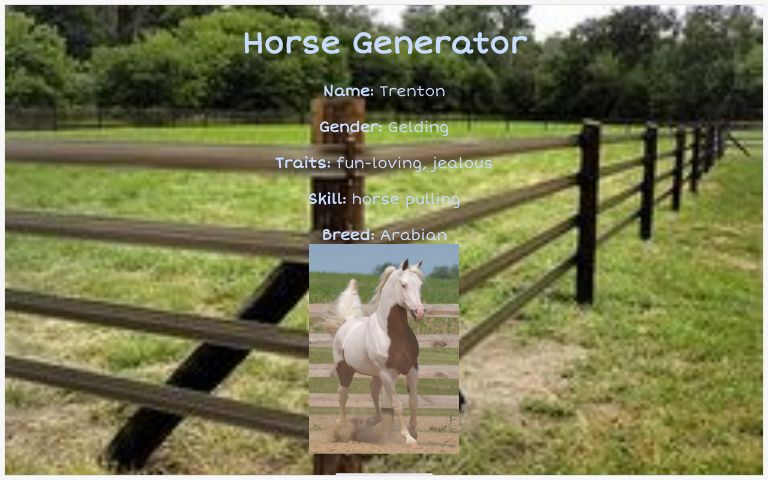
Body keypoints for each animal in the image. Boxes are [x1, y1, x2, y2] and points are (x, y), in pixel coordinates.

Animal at [329, 259, 425, 445]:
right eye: (404, 285)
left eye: (420, 285)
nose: (419, 312)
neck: (393, 333)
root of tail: (348, 322)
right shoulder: (388, 374)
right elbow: (397, 404)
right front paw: (408, 438)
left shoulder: (412, 369)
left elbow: (413, 401)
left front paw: (415, 432)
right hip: (345, 371)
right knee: (342, 395)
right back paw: (341, 428)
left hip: (375, 375)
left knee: (373, 393)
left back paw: (369, 421)